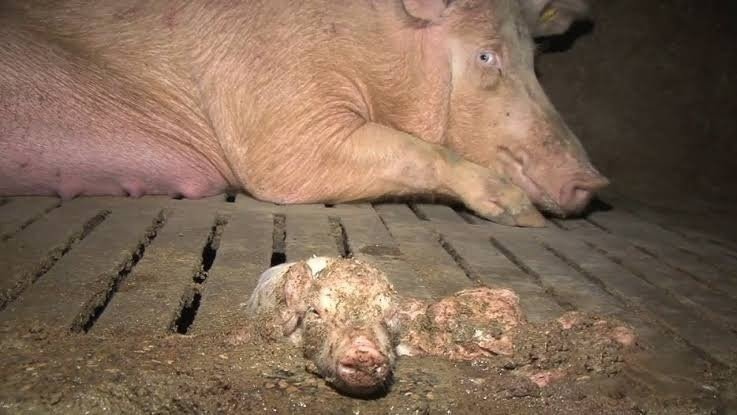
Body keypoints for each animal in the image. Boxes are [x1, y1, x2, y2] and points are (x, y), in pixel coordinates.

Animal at [0, 0, 607, 227]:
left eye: (535, 59)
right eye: (486, 56)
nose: (595, 182)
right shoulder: (276, 100)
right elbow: (407, 148)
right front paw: (520, 215)